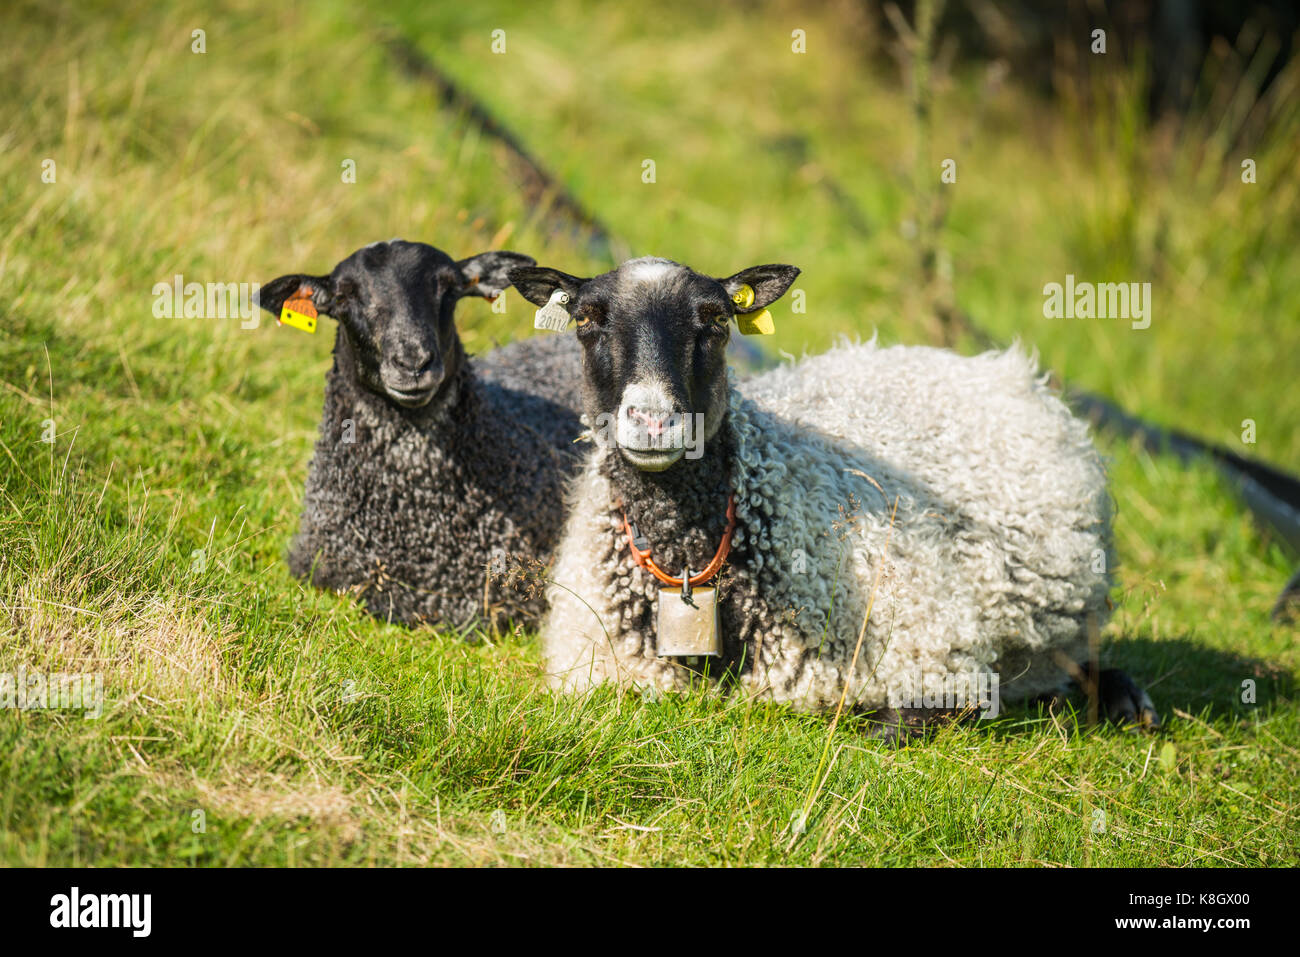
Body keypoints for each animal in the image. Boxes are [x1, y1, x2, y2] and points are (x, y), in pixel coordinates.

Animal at [510, 256, 1158, 736]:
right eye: (587, 320)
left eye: (716, 321)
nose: (653, 422)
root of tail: (1004, 371)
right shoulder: (606, 669)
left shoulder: (937, 652)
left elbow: (904, 721)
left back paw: (1127, 703)